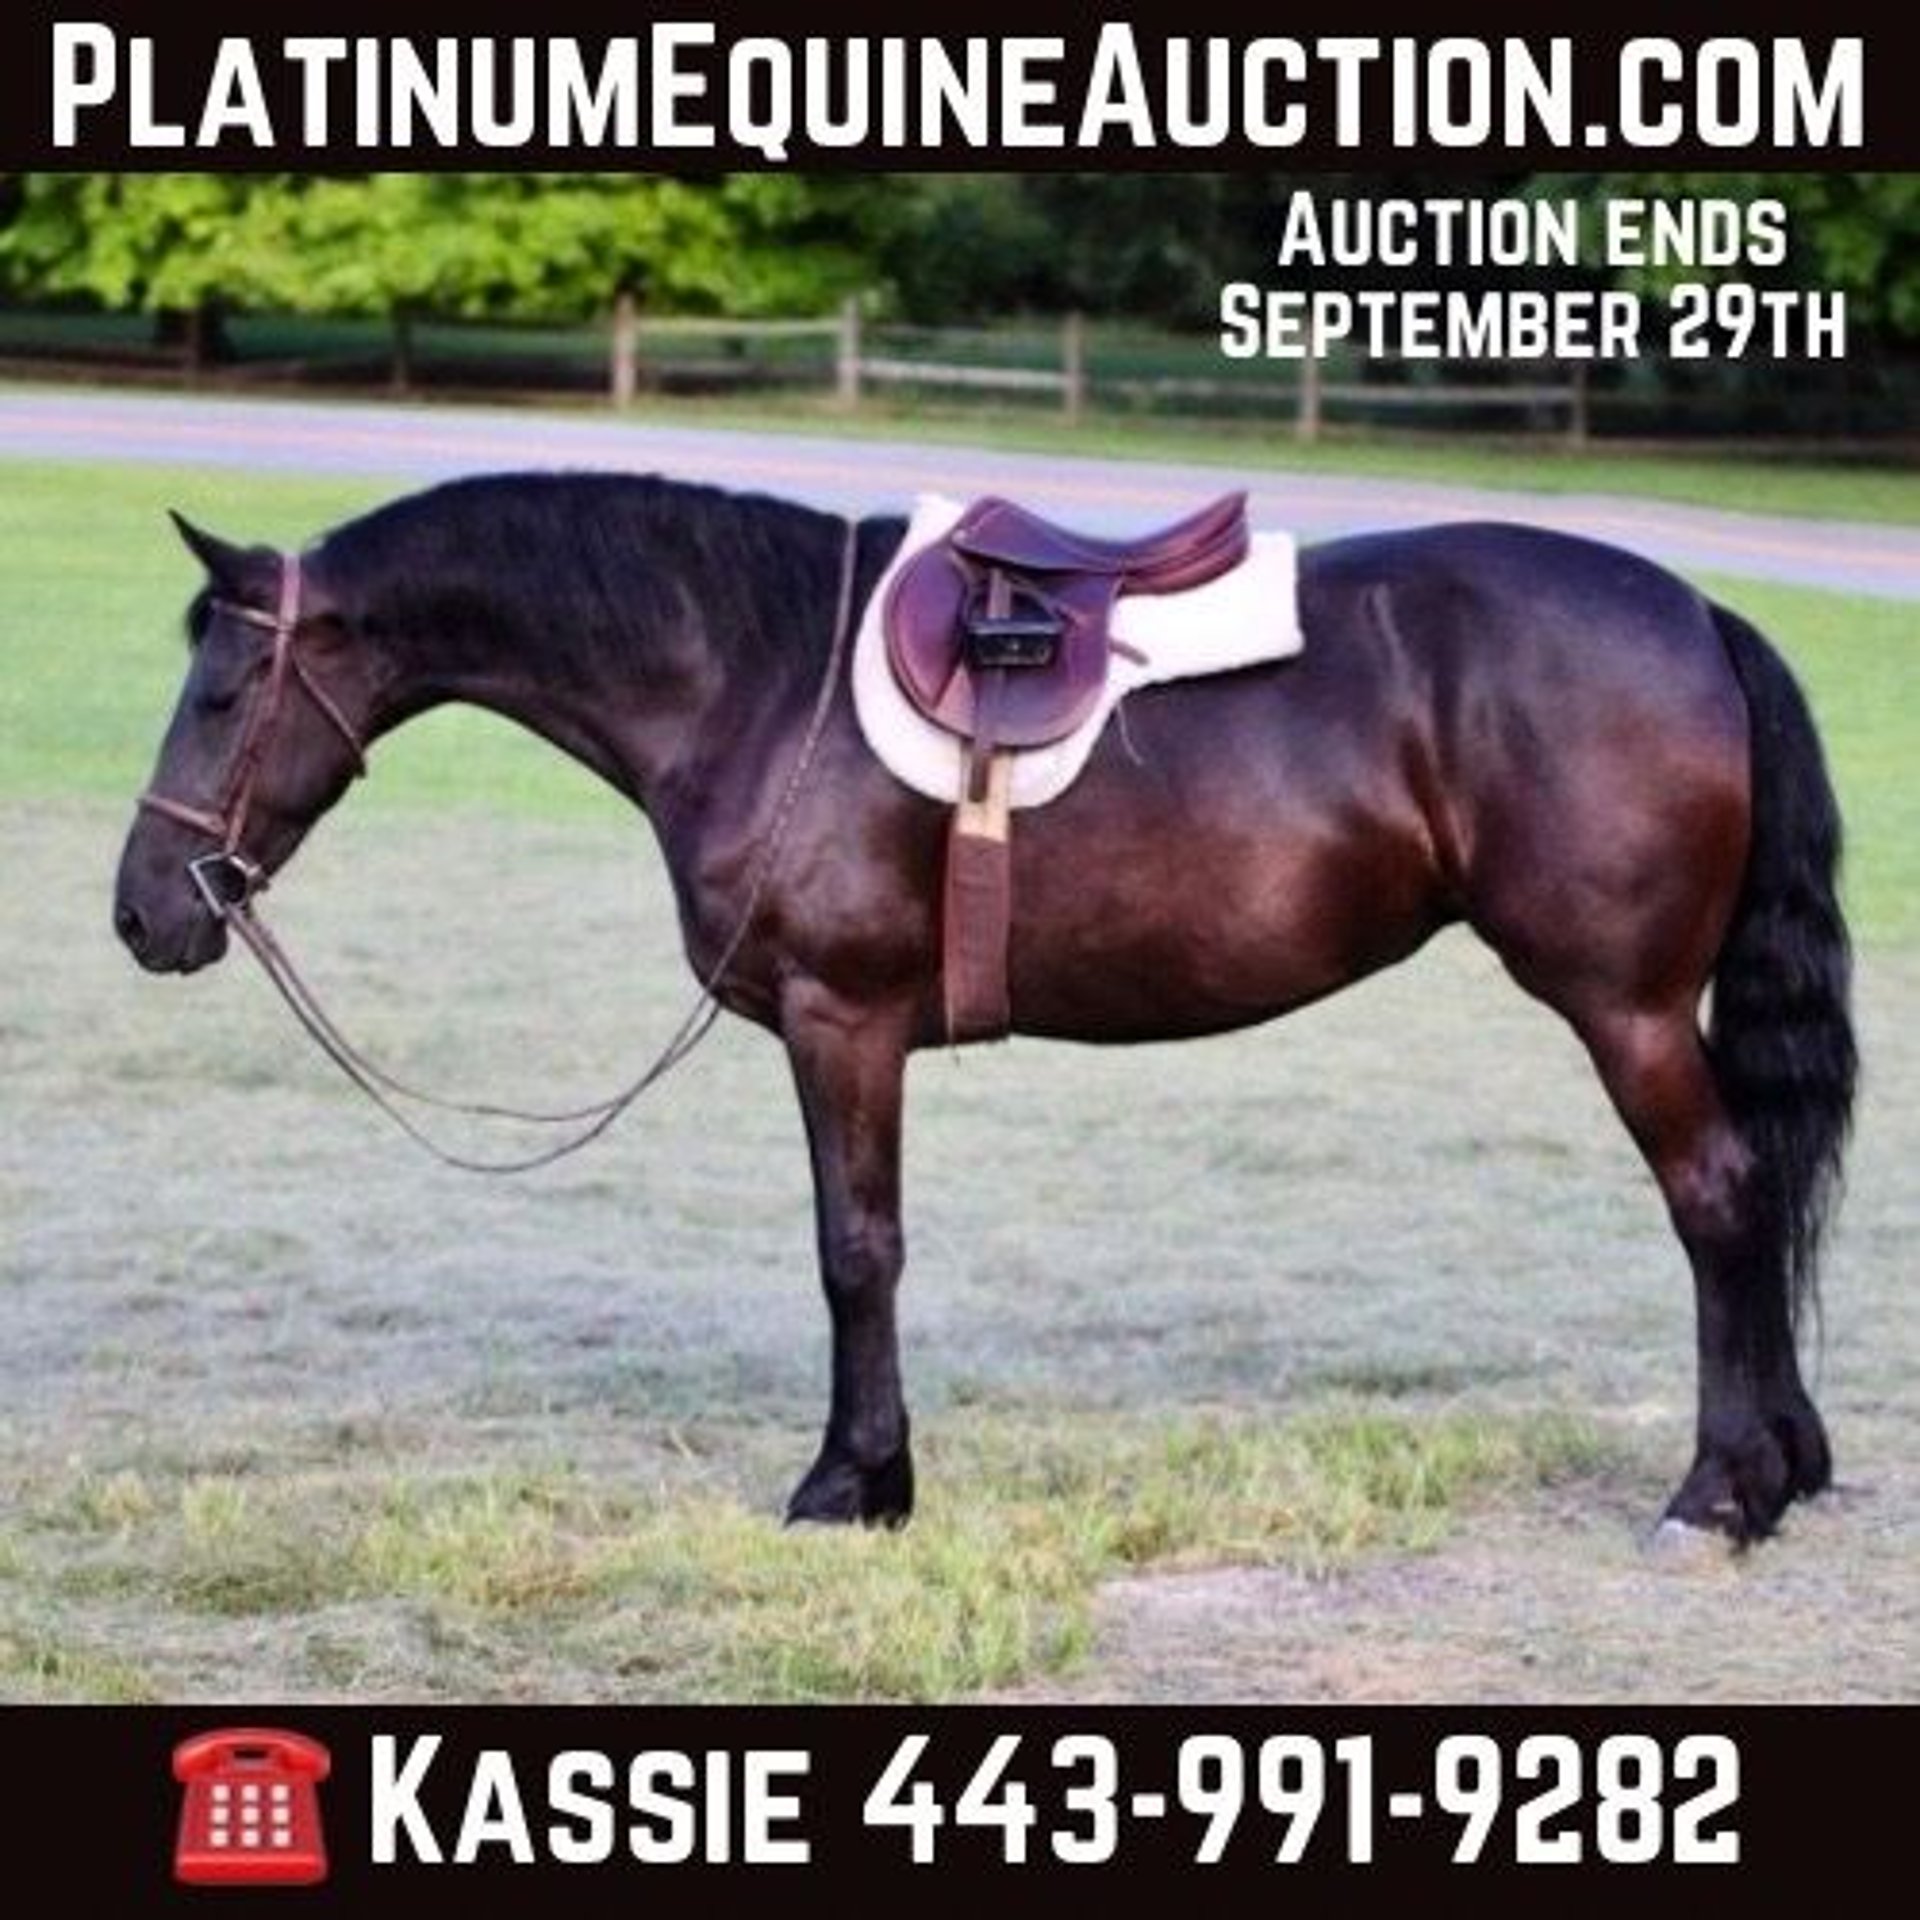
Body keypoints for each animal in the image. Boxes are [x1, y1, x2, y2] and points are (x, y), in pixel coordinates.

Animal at [111, 472, 1855, 1547]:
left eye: (221, 691)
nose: (143, 911)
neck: (755, 676)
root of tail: (1699, 617)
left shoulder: (845, 1023)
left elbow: (855, 1251)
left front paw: (852, 1484)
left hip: (1625, 1008)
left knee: (1718, 1198)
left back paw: (1716, 1496)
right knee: (1753, 1194)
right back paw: (1784, 1471)